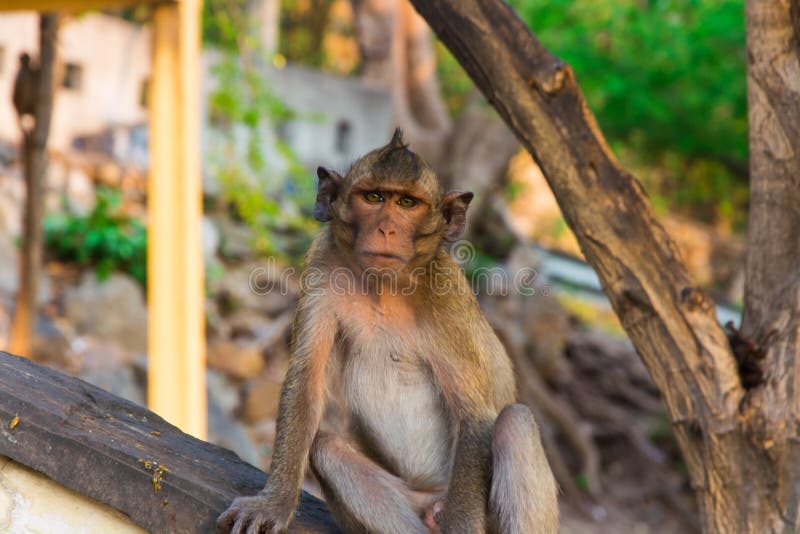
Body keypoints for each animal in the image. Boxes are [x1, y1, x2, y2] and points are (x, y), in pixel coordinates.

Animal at [217, 129, 558, 534]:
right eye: (375, 197)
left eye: (408, 203)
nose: (386, 229)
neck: (385, 286)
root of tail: (434, 502)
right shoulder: (322, 264)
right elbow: (305, 381)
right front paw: (273, 504)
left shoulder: (448, 298)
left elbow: (475, 416)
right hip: (414, 503)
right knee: (327, 447)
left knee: (515, 423)